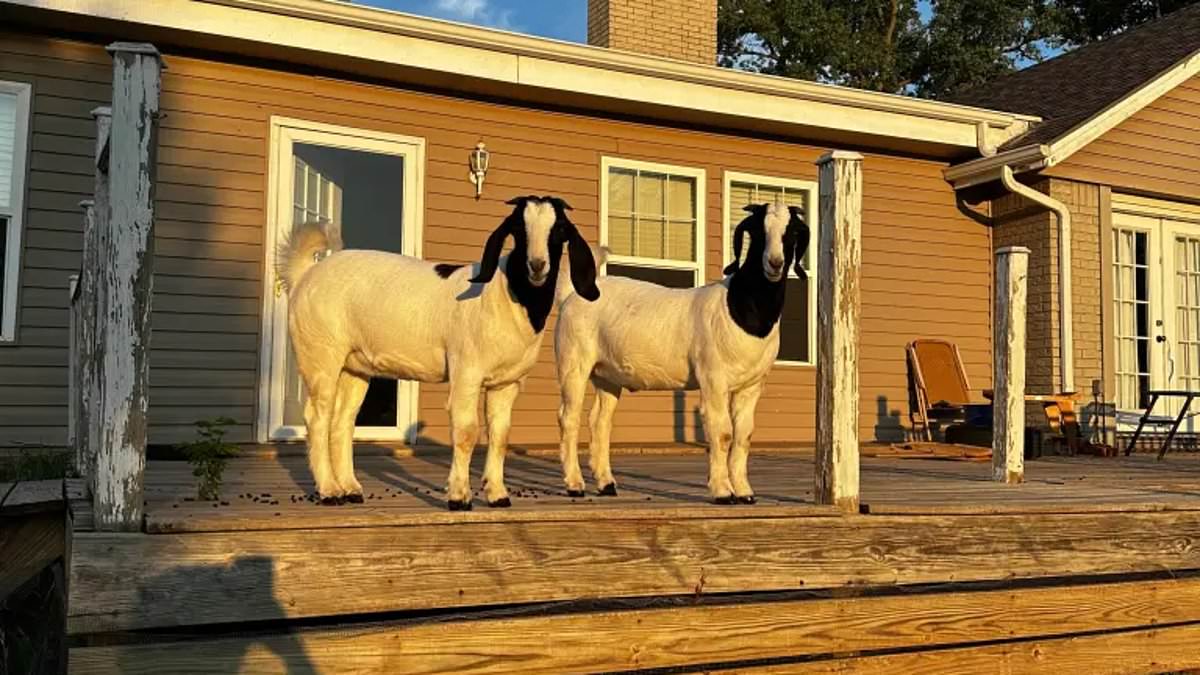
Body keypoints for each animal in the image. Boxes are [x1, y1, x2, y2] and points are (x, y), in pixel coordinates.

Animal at [277, 196, 600, 510]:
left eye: (559, 230)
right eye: (519, 229)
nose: (537, 265)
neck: (508, 295)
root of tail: (305, 275)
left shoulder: (506, 383)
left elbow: (500, 435)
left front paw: (497, 495)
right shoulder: (466, 371)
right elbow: (467, 431)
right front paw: (459, 496)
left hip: (354, 366)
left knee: (342, 421)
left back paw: (350, 489)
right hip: (321, 355)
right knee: (317, 418)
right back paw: (329, 491)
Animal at [554, 199, 808, 503]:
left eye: (792, 233)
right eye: (758, 232)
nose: (775, 263)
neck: (738, 307)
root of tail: (572, 294)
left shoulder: (752, 386)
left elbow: (743, 435)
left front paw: (745, 492)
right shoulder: (713, 379)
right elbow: (722, 433)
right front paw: (723, 492)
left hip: (607, 375)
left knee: (600, 422)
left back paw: (607, 484)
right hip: (573, 363)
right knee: (569, 418)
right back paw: (574, 484)